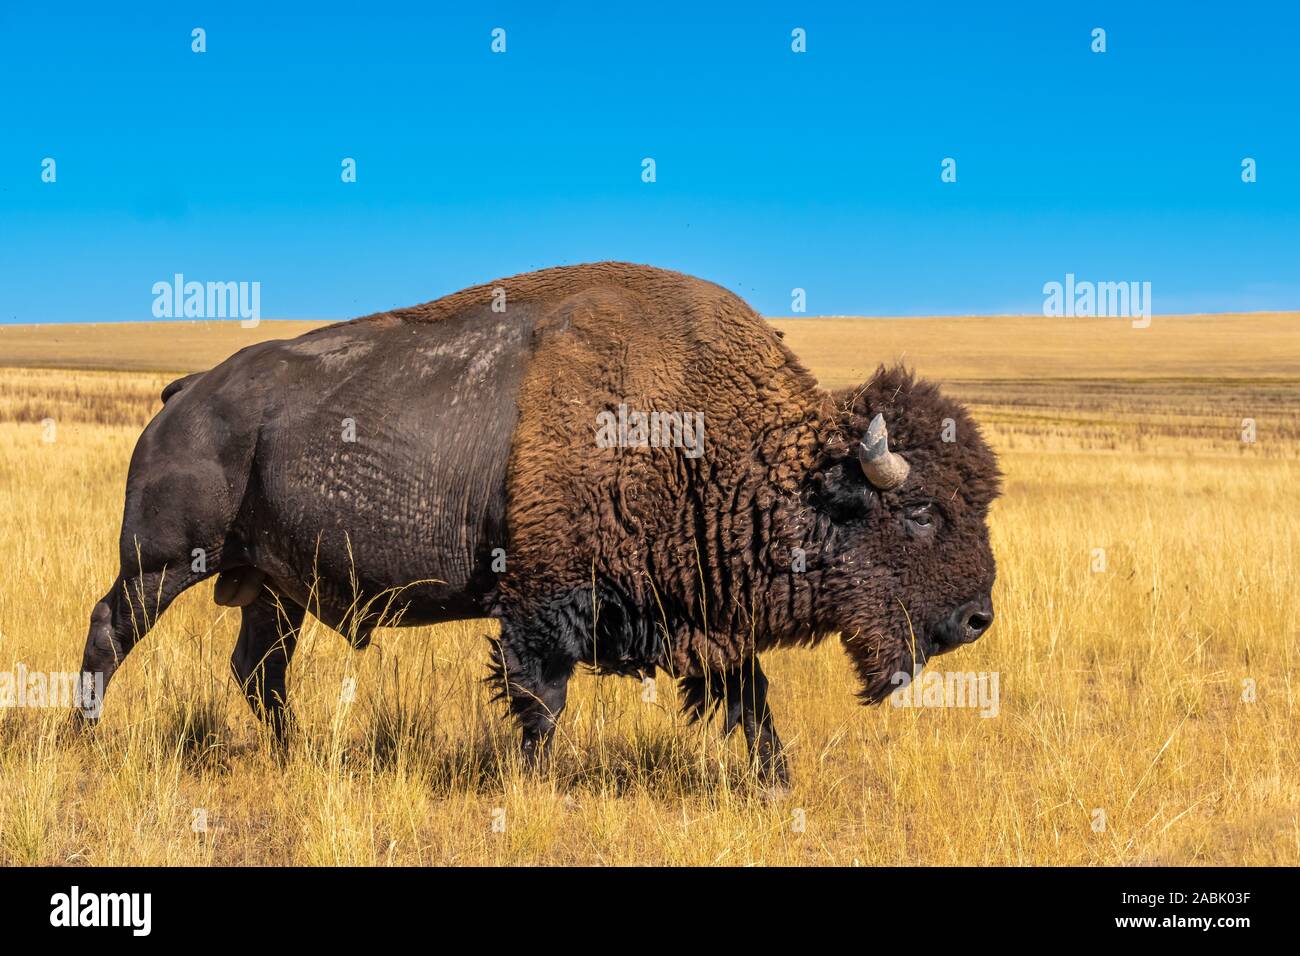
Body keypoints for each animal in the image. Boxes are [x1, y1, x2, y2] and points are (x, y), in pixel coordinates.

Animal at [78, 262, 1000, 787]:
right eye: (921, 511)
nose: (977, 617)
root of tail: (186, 393)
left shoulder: (707, 615)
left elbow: (751, 698)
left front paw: (780, 785)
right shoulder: (545, 604)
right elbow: (541, 699)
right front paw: (529, 786)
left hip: (275, 589)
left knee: (259, 672)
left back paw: (294, 756)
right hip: (162, 564)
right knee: (110, 631)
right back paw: (80, 736)